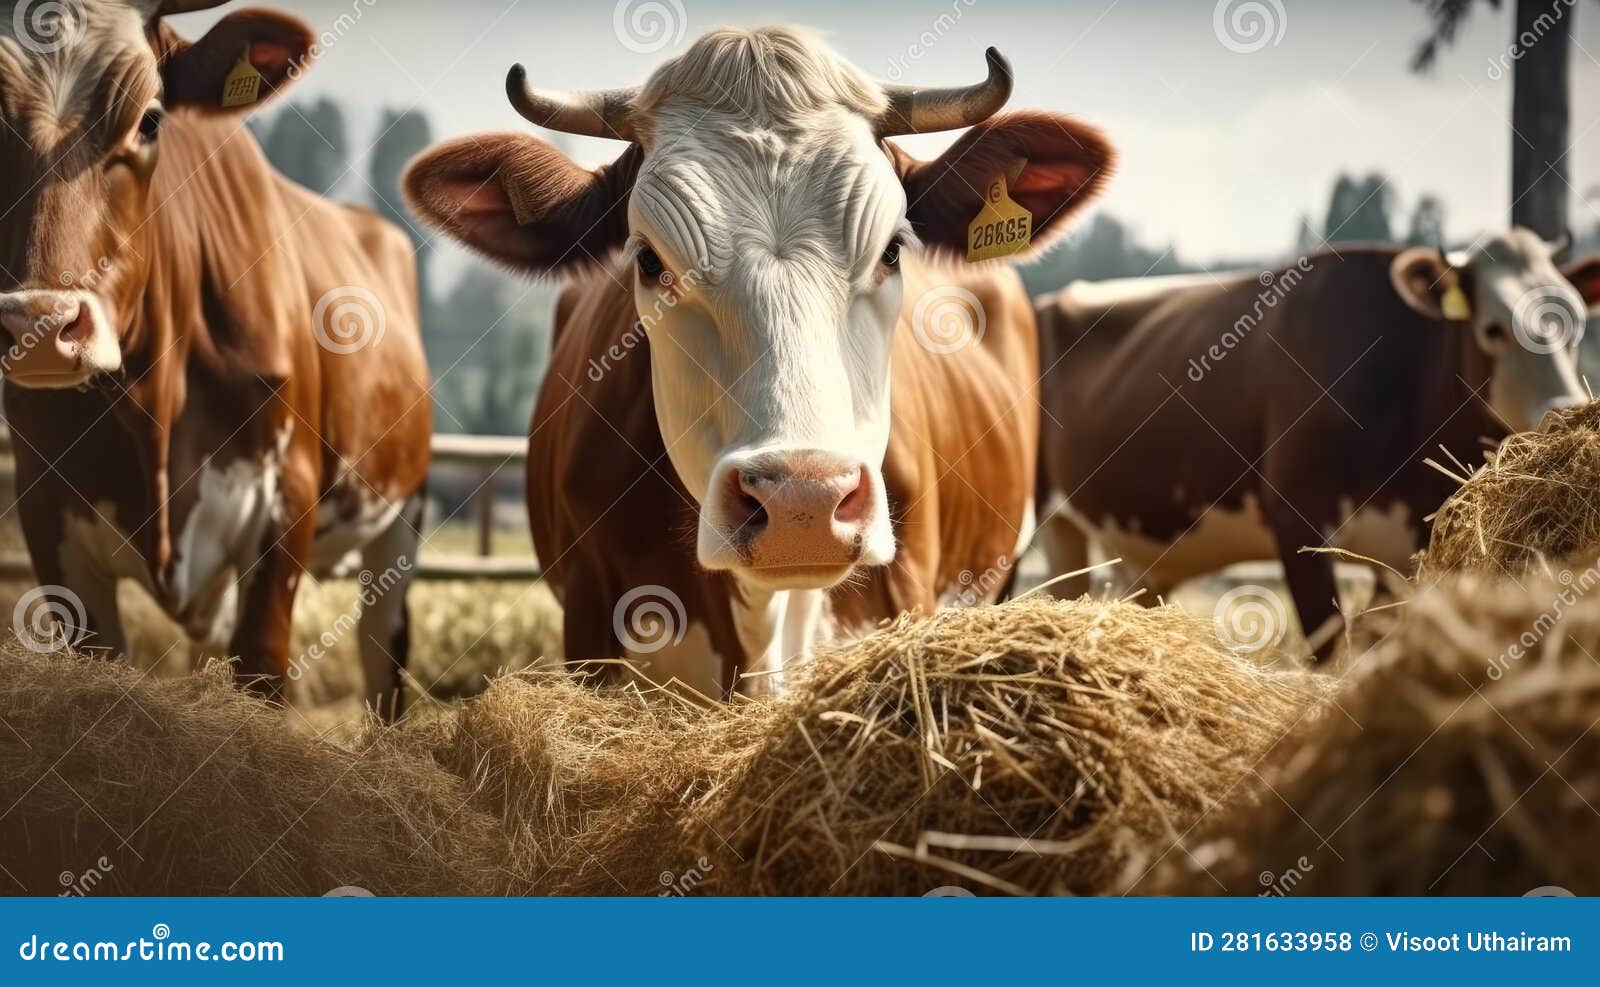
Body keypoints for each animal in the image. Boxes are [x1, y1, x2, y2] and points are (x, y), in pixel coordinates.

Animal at [0, 1, 431, 718]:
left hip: (400, 518)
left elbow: (260, 670)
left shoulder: (287, 501)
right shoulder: (46, 514)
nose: (40, 322)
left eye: (151, 118)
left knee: (383, 654)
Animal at [1034, 231, 1600, 655]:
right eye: (1492, 329)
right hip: (1049, 521)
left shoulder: (1409, 551)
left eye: (1576, 326)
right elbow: (1330, 651)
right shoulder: (1295, 520)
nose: (1564, 409)